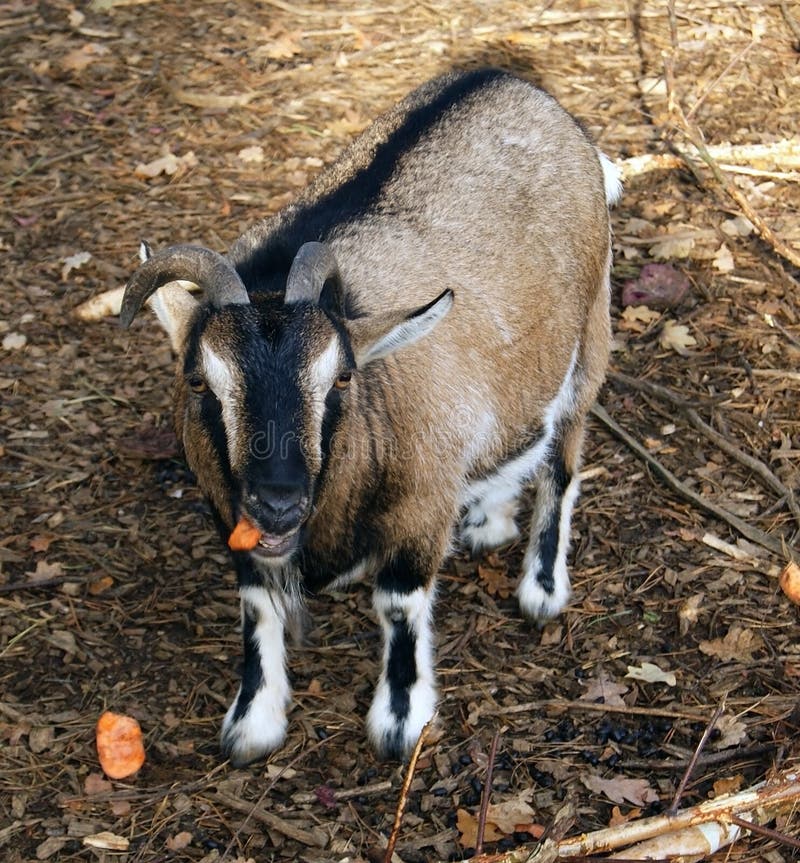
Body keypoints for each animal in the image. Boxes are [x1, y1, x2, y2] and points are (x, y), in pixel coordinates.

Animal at [121, 69, 621, 766]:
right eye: (198, 380)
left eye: (343, 377)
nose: (280, 502)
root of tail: (511, 80)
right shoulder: (230, 512)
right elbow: (258, 603)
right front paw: (253, 719)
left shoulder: (421, 500)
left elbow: (401, 603)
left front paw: (401, 719)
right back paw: (488, 518)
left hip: (590, 336)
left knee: (562, 460)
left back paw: (542, 586)